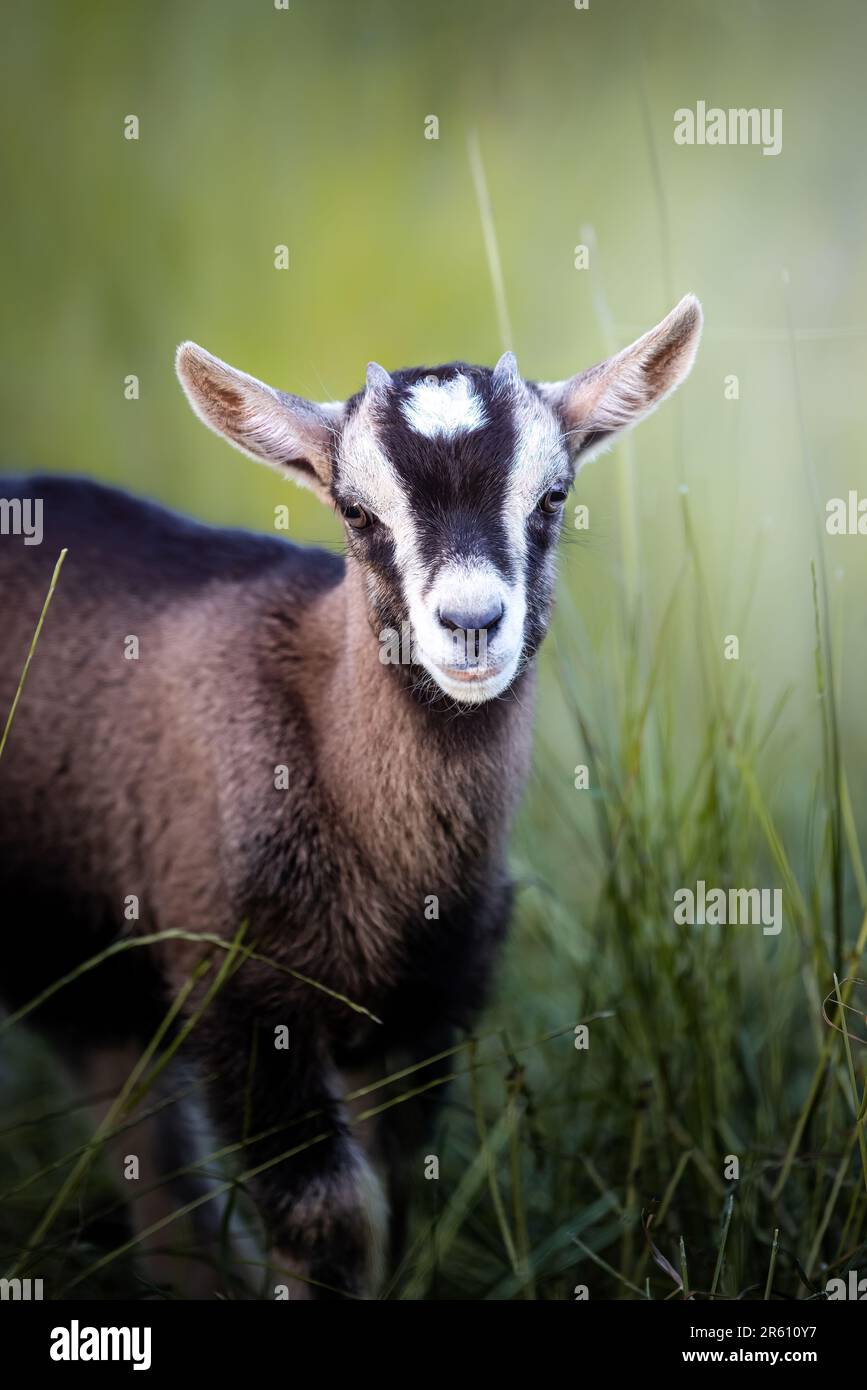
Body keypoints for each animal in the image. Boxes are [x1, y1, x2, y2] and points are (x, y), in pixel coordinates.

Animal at [0, 295, 702, 1298]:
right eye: (357, 509)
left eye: (552, 496)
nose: (471, 625)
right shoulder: (242, 997)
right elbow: (332, 1217)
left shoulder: (422, 1011)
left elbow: (396, 1193)